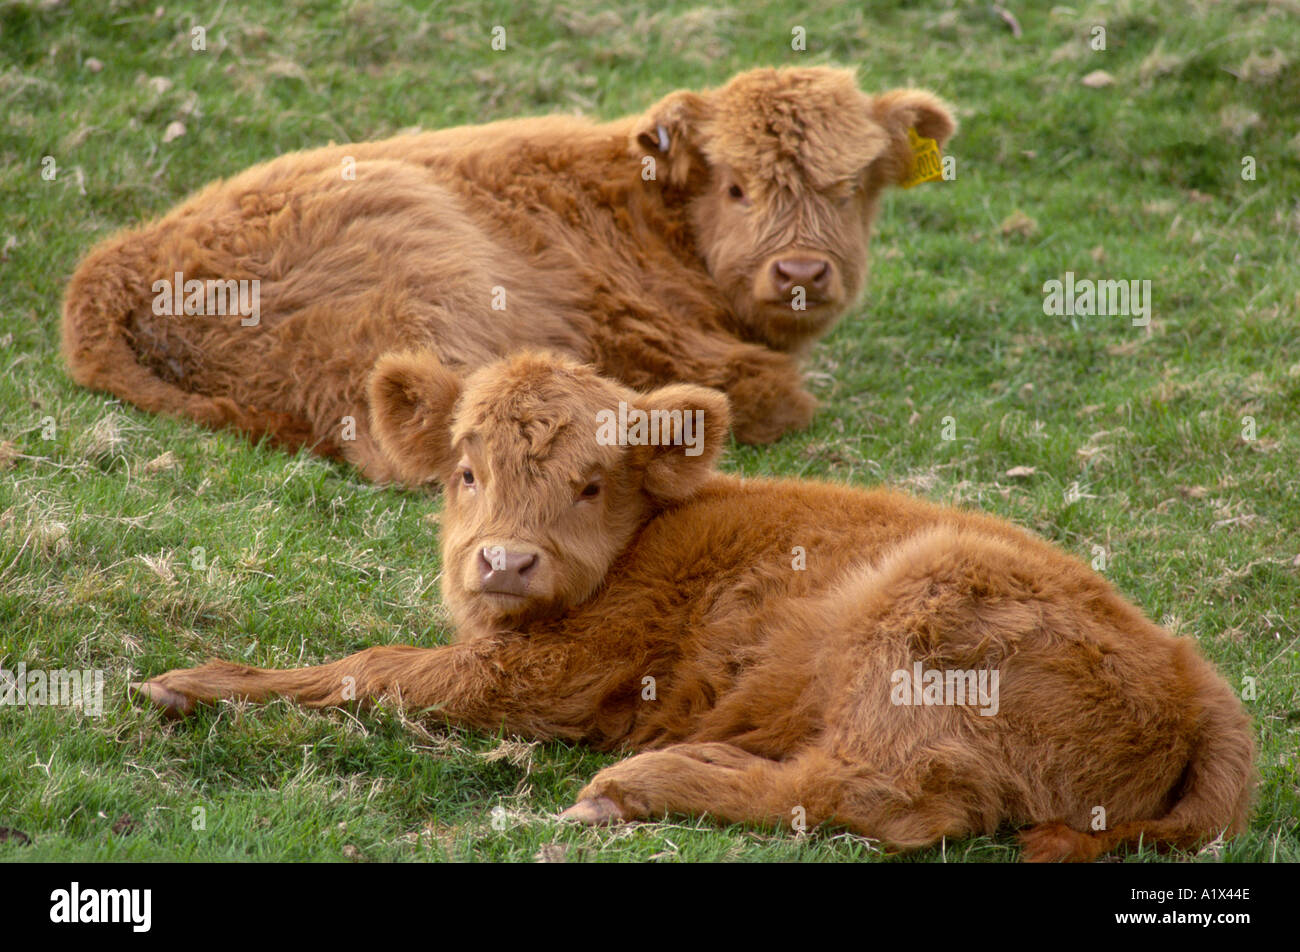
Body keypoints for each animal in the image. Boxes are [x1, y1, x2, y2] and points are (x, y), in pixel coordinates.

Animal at [60, 67, 956, 483]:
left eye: (851, 186)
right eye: (737, 186)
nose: (801, 269)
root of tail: (118, 260)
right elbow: (777, 395)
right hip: (426, 279)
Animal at [133, 351, 1255, 862]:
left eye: (591, 481)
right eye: (463, 470)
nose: (504, 561)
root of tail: (1188, 669)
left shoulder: (537, 680)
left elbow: (370, 667)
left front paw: (190, 683)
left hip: (915, 640)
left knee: (884, 798)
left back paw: (636, 784)